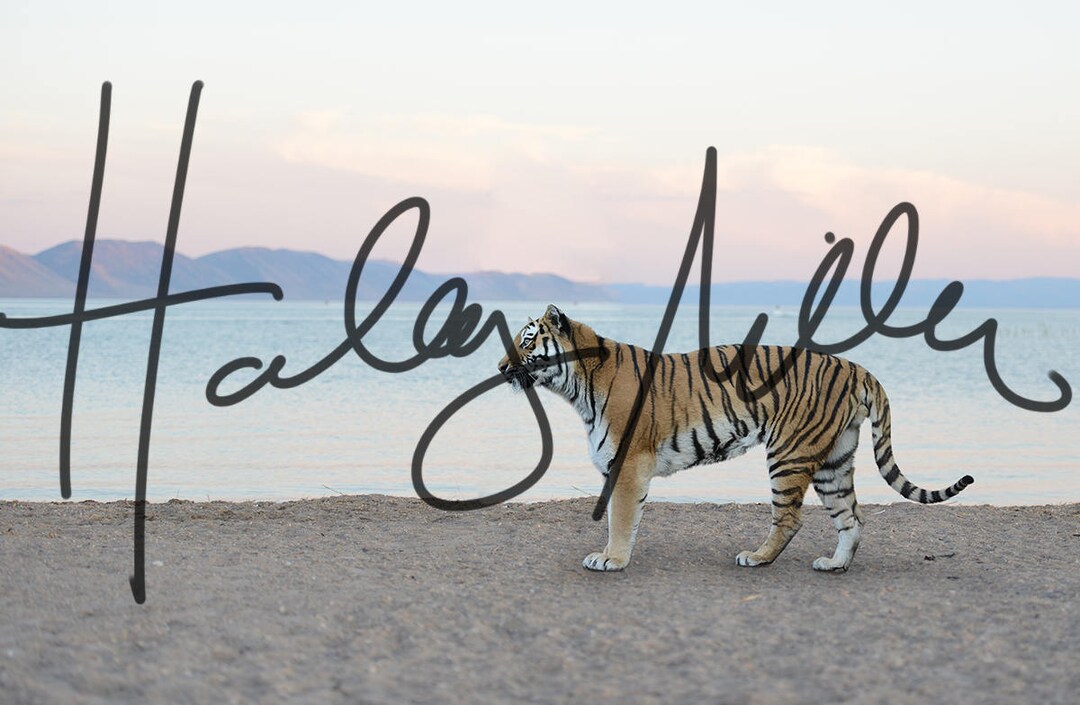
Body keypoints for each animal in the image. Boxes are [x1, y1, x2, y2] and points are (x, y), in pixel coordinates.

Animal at [497, 304, 974, 573]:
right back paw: (834, 565)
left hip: (789, 452)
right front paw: (611, 555)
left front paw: (612, 559)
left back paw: (758, 558)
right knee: (852, 518)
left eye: (527, 341)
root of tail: (857, 367)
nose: (500, 367)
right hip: (833, 460)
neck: (577, 385)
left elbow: (622, 517)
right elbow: (620, 517)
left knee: (790, 518)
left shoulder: (629, 464)